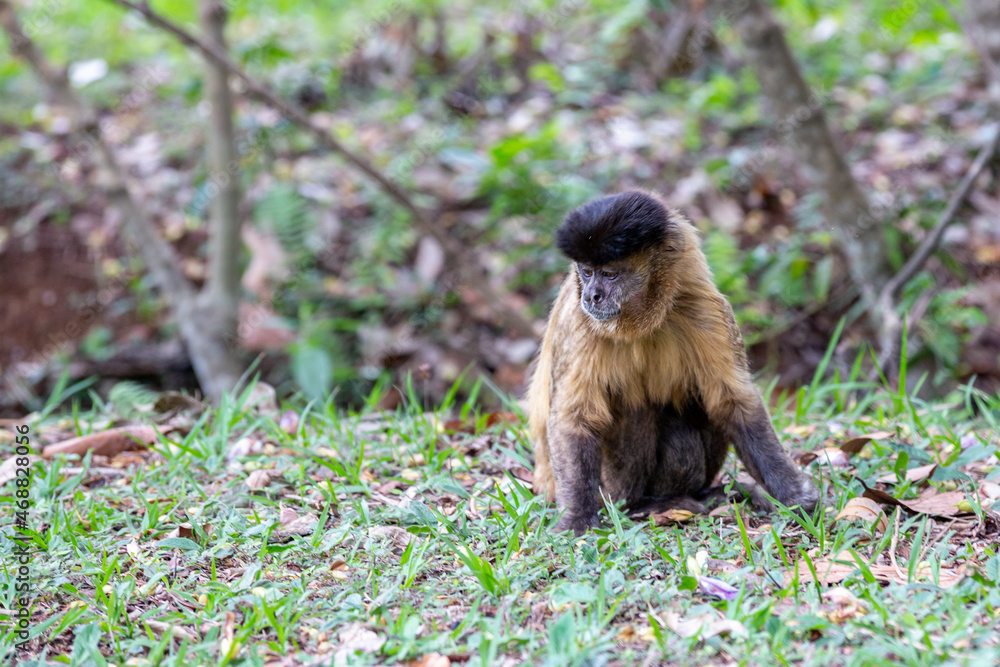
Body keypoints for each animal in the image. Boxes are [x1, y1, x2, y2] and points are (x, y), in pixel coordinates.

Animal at [527, 190, 820, 534]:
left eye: (609, 274)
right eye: (586, 272)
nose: (592, 295)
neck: (641, 322)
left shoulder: (704, 307)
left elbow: (734, 403)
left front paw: (792, 493)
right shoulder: (579, 319)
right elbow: (575, 418)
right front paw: (576, 518)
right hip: (607, 486)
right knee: (638, 409)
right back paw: (645, 504)